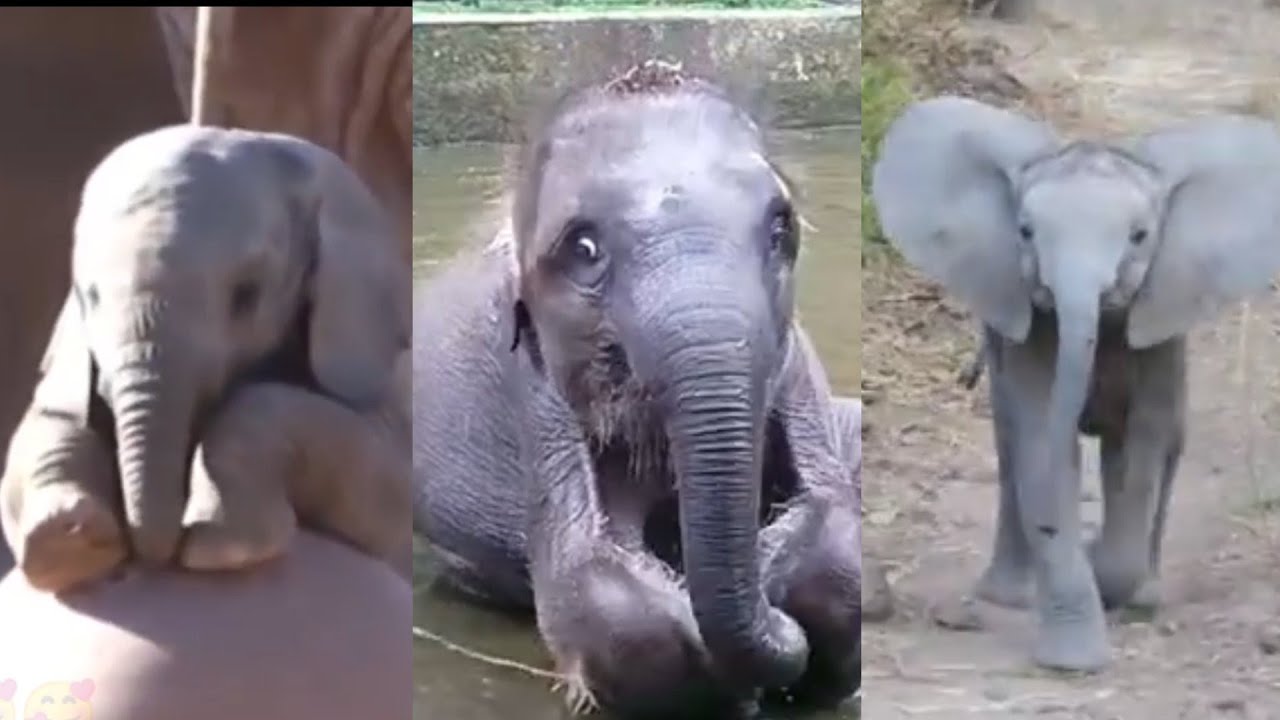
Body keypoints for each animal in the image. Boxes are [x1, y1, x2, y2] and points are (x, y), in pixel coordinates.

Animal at [0, 124, 410, 593]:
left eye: (247, 295)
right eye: (90, 297)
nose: (146, 561)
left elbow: (386, 482)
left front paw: (215, 544)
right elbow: (50, 425)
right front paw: (70, 545)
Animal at [413, 62, 860, 718]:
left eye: (781, 228)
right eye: (583, 248)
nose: (779, 624)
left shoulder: (797, 366)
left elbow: (835, 540)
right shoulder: (532, 392)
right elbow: (599, 586)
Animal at [870, 95, 1280, 671]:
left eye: (1138, 237)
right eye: (1024, 232)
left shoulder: (1157, 333)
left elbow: (1138, 453)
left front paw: (1102, 568)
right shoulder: (1027, 327)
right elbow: (1043, 445)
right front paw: (1072, 663)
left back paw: (1145, 595)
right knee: (1010, 446)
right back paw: (1012, 596)